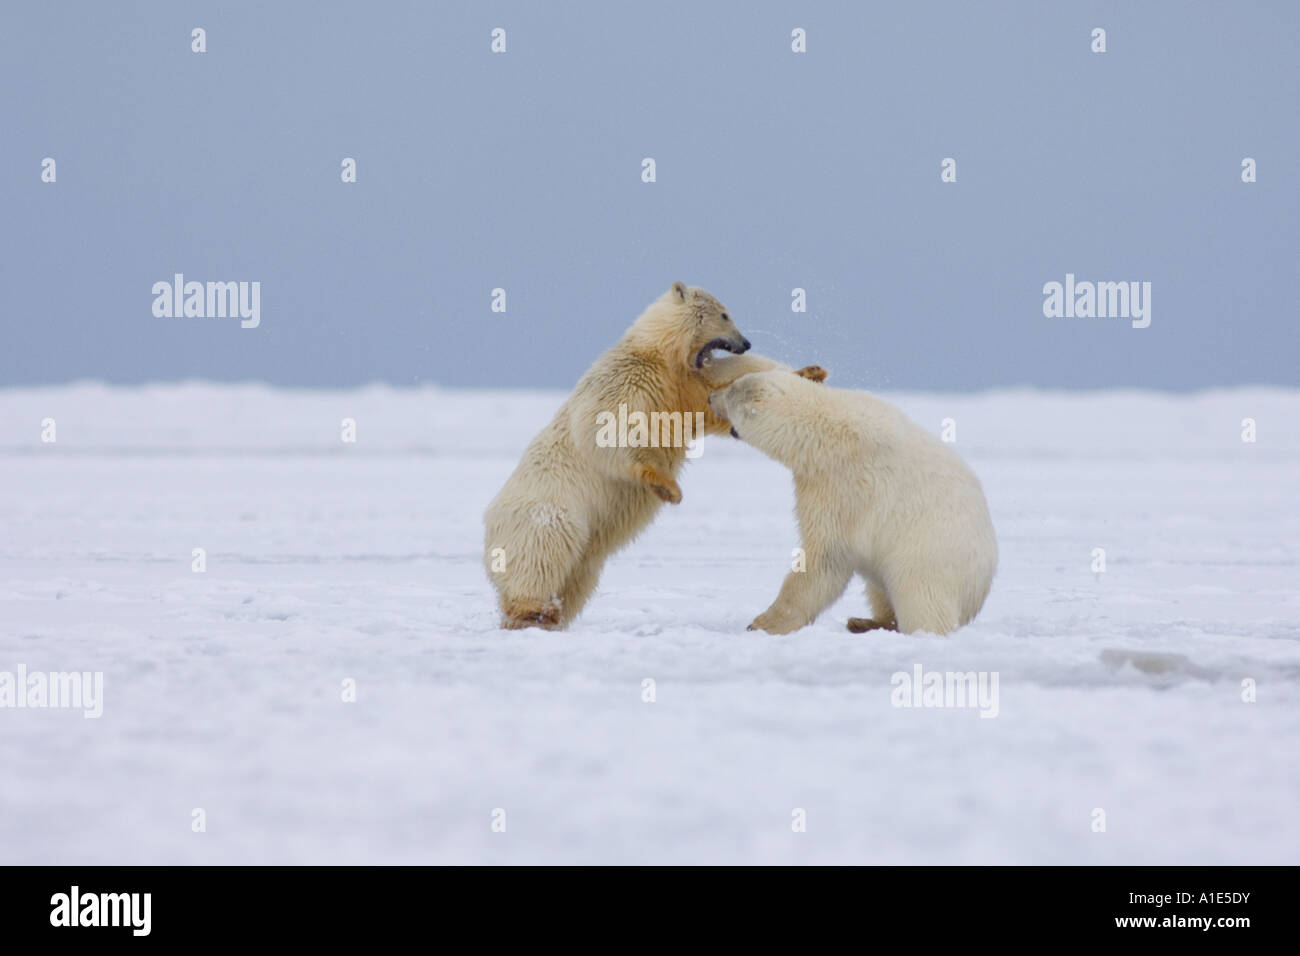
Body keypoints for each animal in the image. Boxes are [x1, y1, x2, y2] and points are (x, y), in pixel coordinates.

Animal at [484, 282, 827, 630]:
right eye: (724, 314)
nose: (745, 343)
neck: (663, 357)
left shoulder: (688, 385)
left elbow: (719, 398)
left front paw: (811, 372)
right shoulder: (628, 377)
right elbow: (608, 428)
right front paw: (668, 488)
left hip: (582, 551)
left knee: (578, 577)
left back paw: (548, 615)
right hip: (547, 512)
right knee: (542, 555)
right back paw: (533, 609)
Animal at [708, 369, 997, 636]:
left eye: (729, 390)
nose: (711, 398)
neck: (826, 430)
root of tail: (980, 590)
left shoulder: (843, 488)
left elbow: (826, 556)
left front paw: (762, 623)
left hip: (930, 559)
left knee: (922, 601)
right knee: (879, 589)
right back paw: (864, 621)